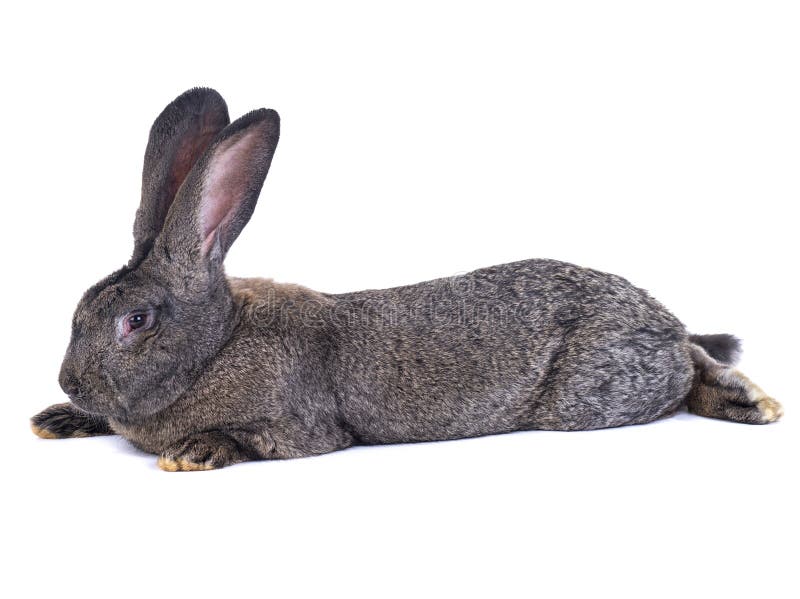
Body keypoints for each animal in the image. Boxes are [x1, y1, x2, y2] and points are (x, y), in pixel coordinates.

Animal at [31, 87, 783, 471]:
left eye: (136, 321)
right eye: (80, 311)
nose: (71, 383)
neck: (214, 346)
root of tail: (661, 317)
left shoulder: (302, 427)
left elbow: (262, 439)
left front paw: (195, 451)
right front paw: (56, 420)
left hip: (591, 392)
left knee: (685, 371)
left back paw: (750, 404)